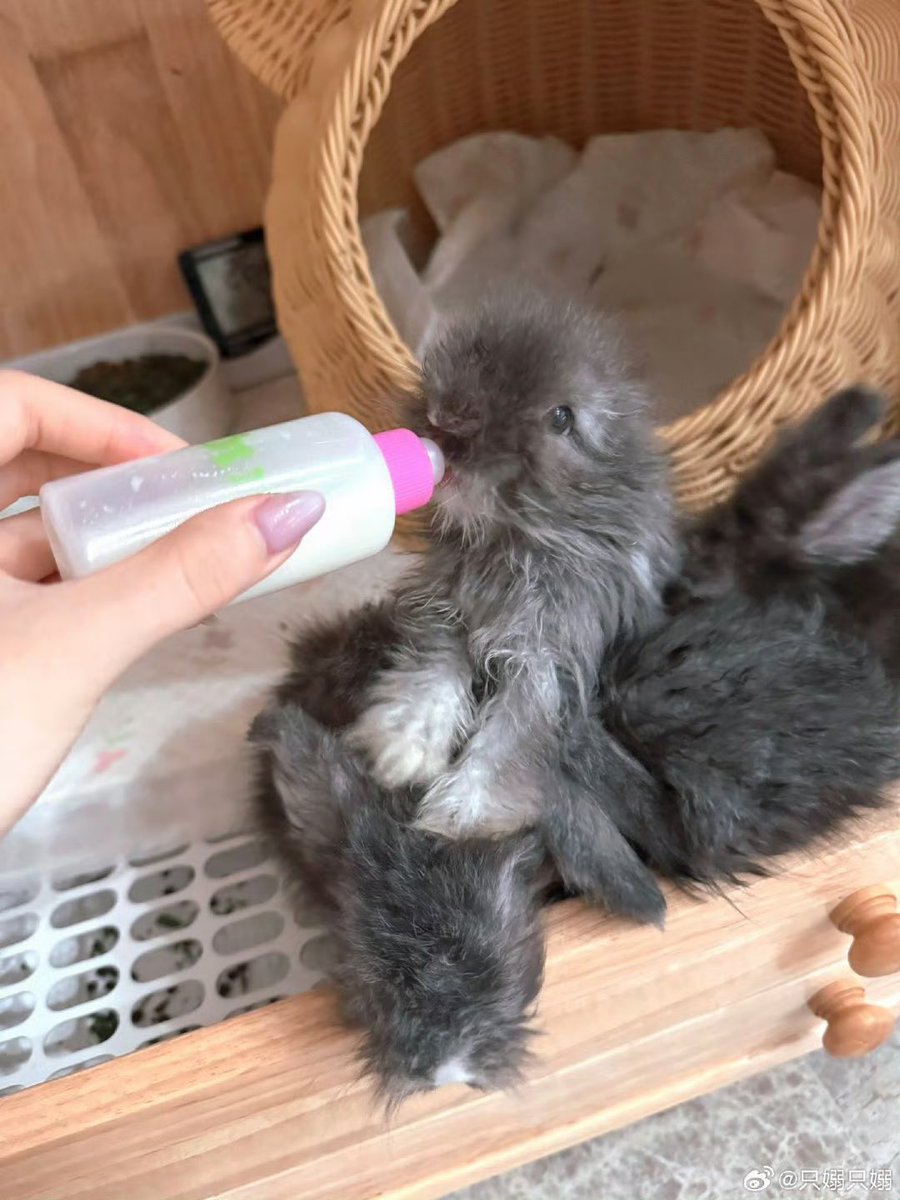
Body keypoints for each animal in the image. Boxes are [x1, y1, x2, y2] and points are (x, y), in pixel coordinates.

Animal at [348, 285, 678, 838]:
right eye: (472, 353)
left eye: (562, 418)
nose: (450, 418)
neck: (510, 547)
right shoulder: (447, 618)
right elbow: (432, 678)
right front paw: (402, 749)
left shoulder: (544, 661)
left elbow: (511, 735)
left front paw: (461, 813)